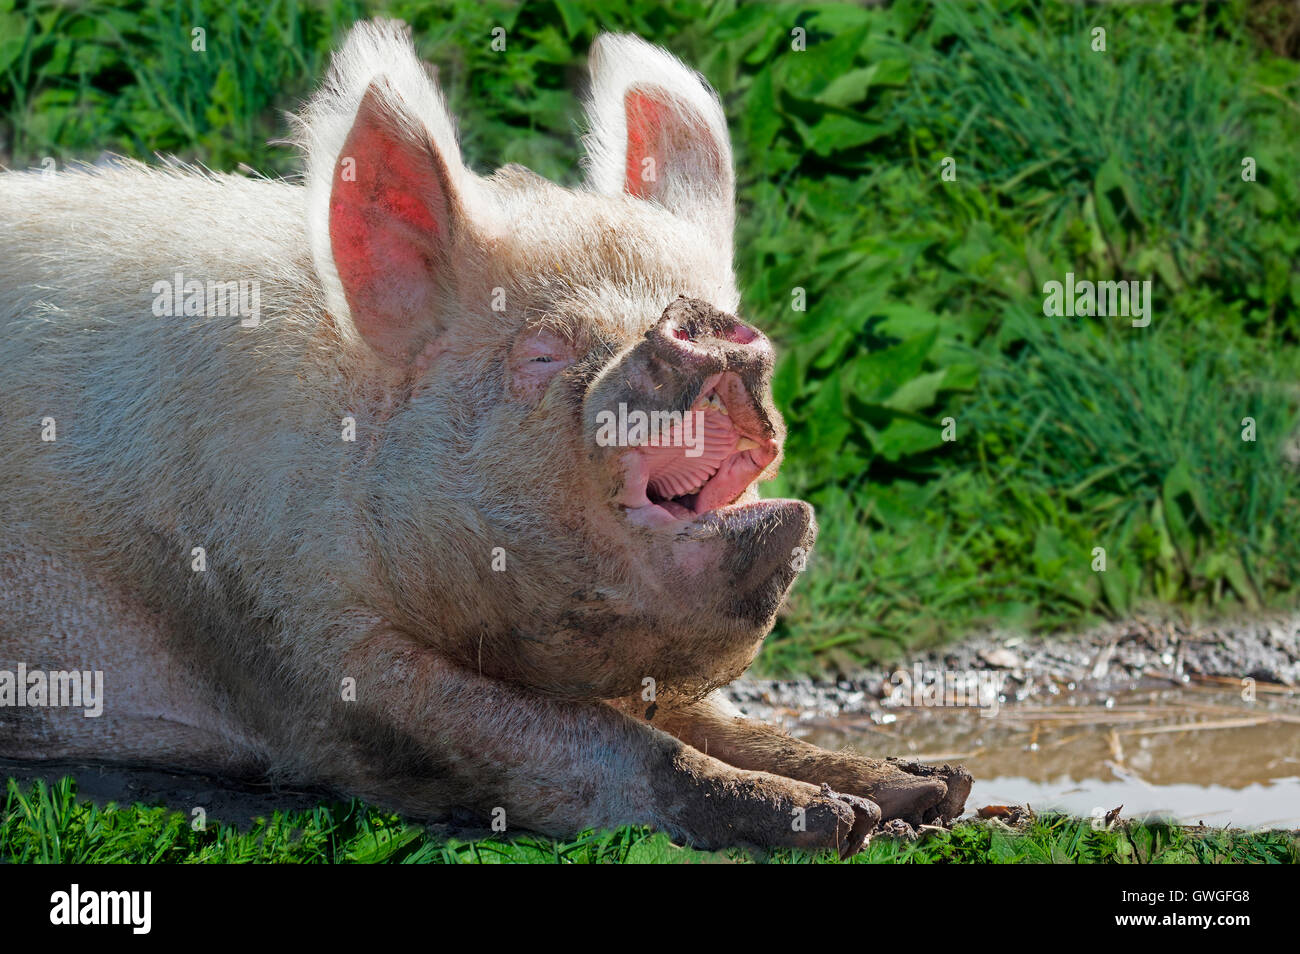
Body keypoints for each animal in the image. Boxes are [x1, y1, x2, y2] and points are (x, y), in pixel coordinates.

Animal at [0, 19, 969, 856]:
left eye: (702, 296)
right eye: (541, 351)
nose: (699, 317)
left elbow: (710, 719)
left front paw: (932, 788)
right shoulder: (303, 648)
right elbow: (579, 739)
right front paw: (838, 820)